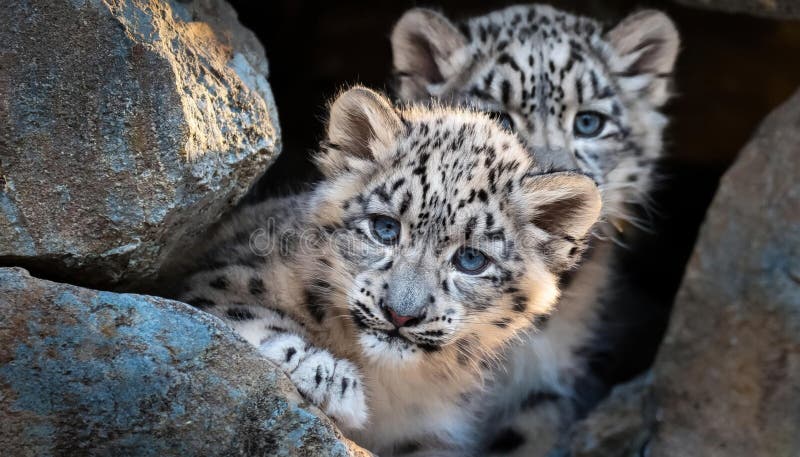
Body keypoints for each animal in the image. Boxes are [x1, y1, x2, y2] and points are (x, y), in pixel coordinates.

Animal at [178, 86, 602, 456]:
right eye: (385, 228)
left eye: (471, 259)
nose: (401, 314)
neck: (386, 383)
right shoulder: (214, 279)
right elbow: (235, 314)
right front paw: (330, 378)